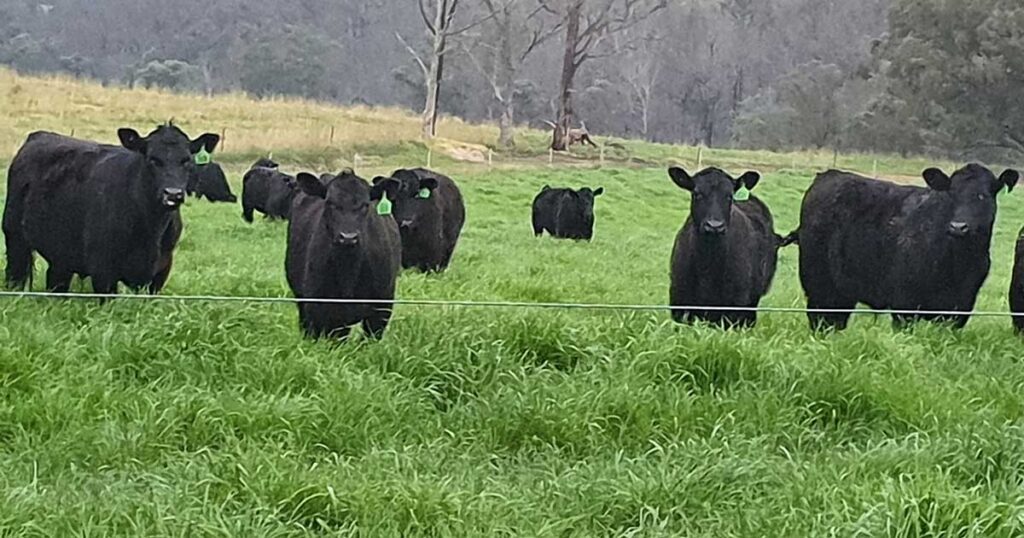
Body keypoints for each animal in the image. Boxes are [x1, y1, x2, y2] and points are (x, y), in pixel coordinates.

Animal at [3, 123, 219, 294]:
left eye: (187, 160)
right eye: (152, 159)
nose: (173, 194)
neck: (151, 228)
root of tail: (40, 135)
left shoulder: (161, 270)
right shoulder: (103, 269)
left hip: (61, 251)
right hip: (15, 237)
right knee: (15, 276)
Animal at [790, 164, 1019, 331]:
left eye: (982, 196)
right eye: (951, 194)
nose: (958, 227)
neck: (958, 261)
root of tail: (830, 175)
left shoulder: (959, 308)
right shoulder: (905, 303)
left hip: (842, 290)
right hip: (818, 282)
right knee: (820, 318)